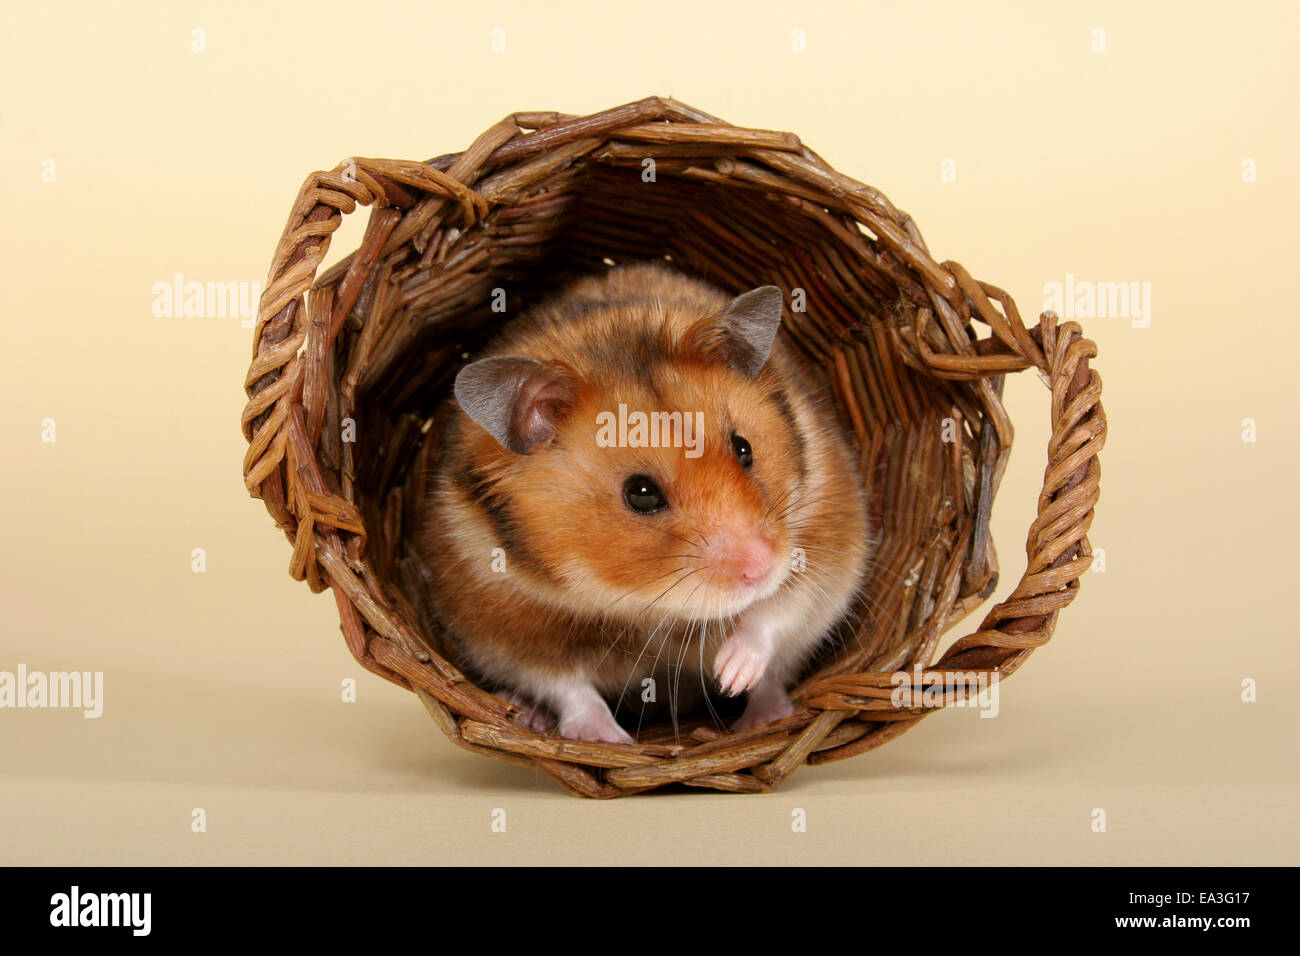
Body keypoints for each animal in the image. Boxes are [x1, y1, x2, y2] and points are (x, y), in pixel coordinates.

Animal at [419, 260, 869, 743]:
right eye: (640, 493)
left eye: (744, 448)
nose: (761, 568)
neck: (642, 604)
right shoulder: (502, 623)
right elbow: (566, 685)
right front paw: (609, 741)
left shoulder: (827, 550)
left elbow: (772, 613)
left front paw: (730, 674)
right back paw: (528, 714)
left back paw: (763, 717)